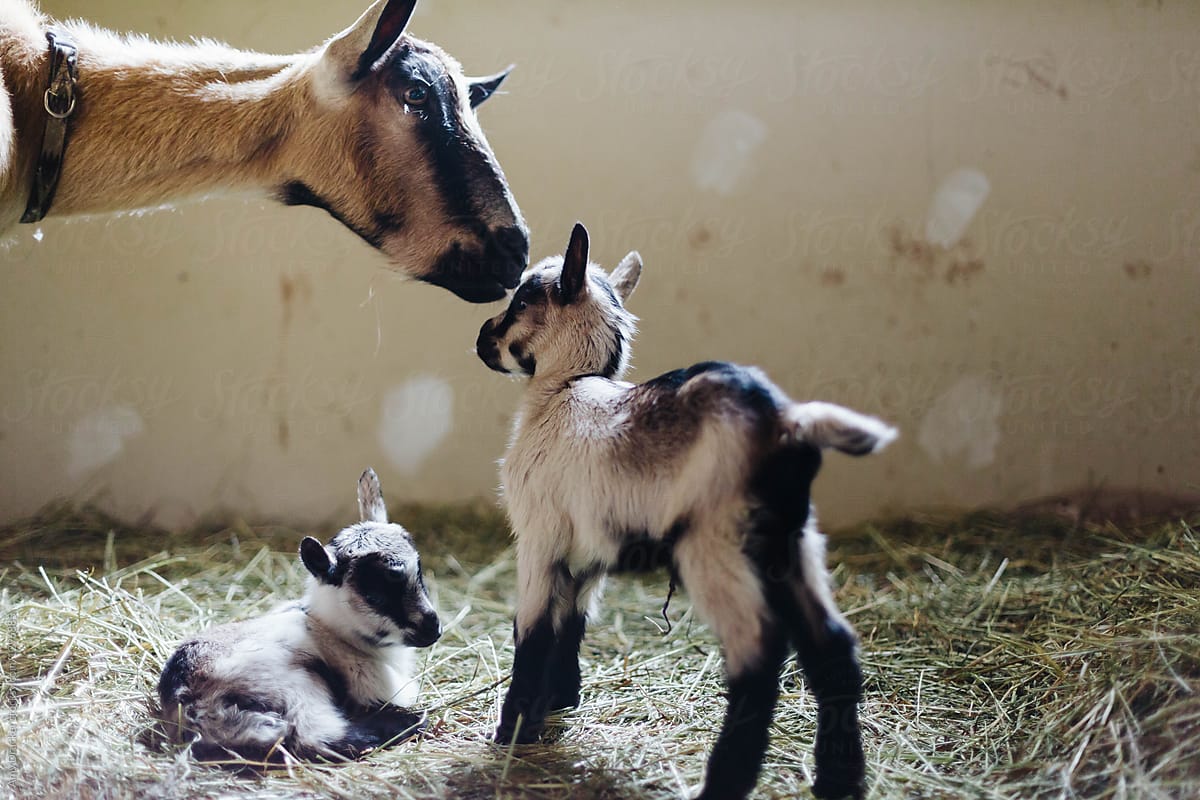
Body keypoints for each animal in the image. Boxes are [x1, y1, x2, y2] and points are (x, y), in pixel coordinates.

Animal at [157, 468, 442, 763]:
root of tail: (189, 704)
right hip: (295, 681)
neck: (332, 632)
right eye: (374, 596)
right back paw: (409, 723)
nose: (432, 628)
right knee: (315, 735)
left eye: (419, 574)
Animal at [475, 223, 897, 800]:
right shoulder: (587, 551)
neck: (565, 390)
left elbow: (533, 630)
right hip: (792, 543)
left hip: (713, 547)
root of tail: (784, 421)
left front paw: (514, 729)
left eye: (521, 300)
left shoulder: (539, 540)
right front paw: (560, 701)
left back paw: (723, 784)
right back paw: (839, 781)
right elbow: (571, 621)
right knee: (831, 647)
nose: (481, 338)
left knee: (758, 658)